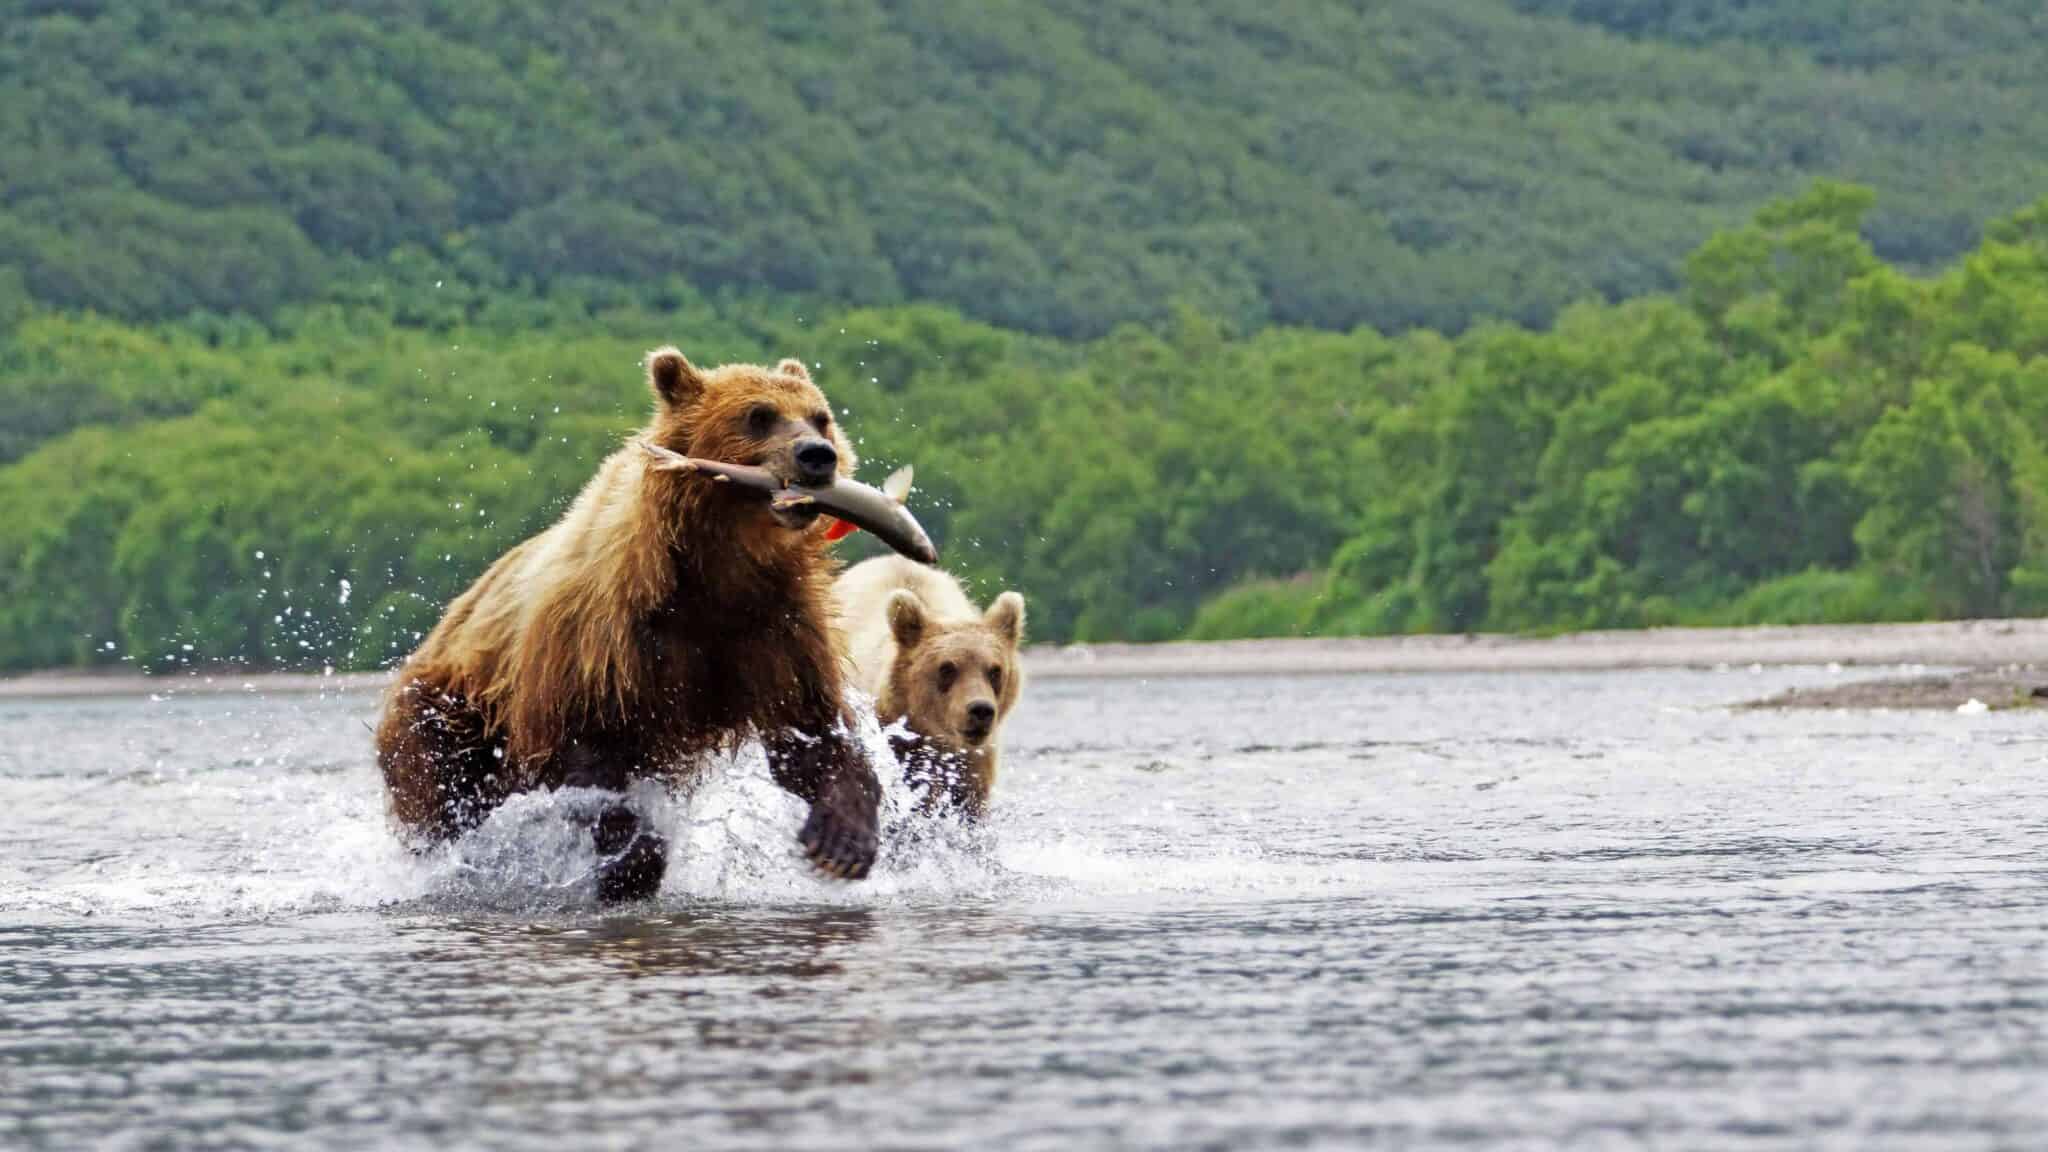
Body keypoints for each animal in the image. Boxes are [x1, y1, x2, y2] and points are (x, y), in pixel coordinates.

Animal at [375, 347, 882, 901]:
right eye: (758, 415)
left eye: (821, 416)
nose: (817, 455)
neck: (714, 565)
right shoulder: (604, 637)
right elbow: (592, 759)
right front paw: (632, 862)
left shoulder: (775, 627)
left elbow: (811, 732)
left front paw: (841, 839)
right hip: (447, 714)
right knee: (443, 799)